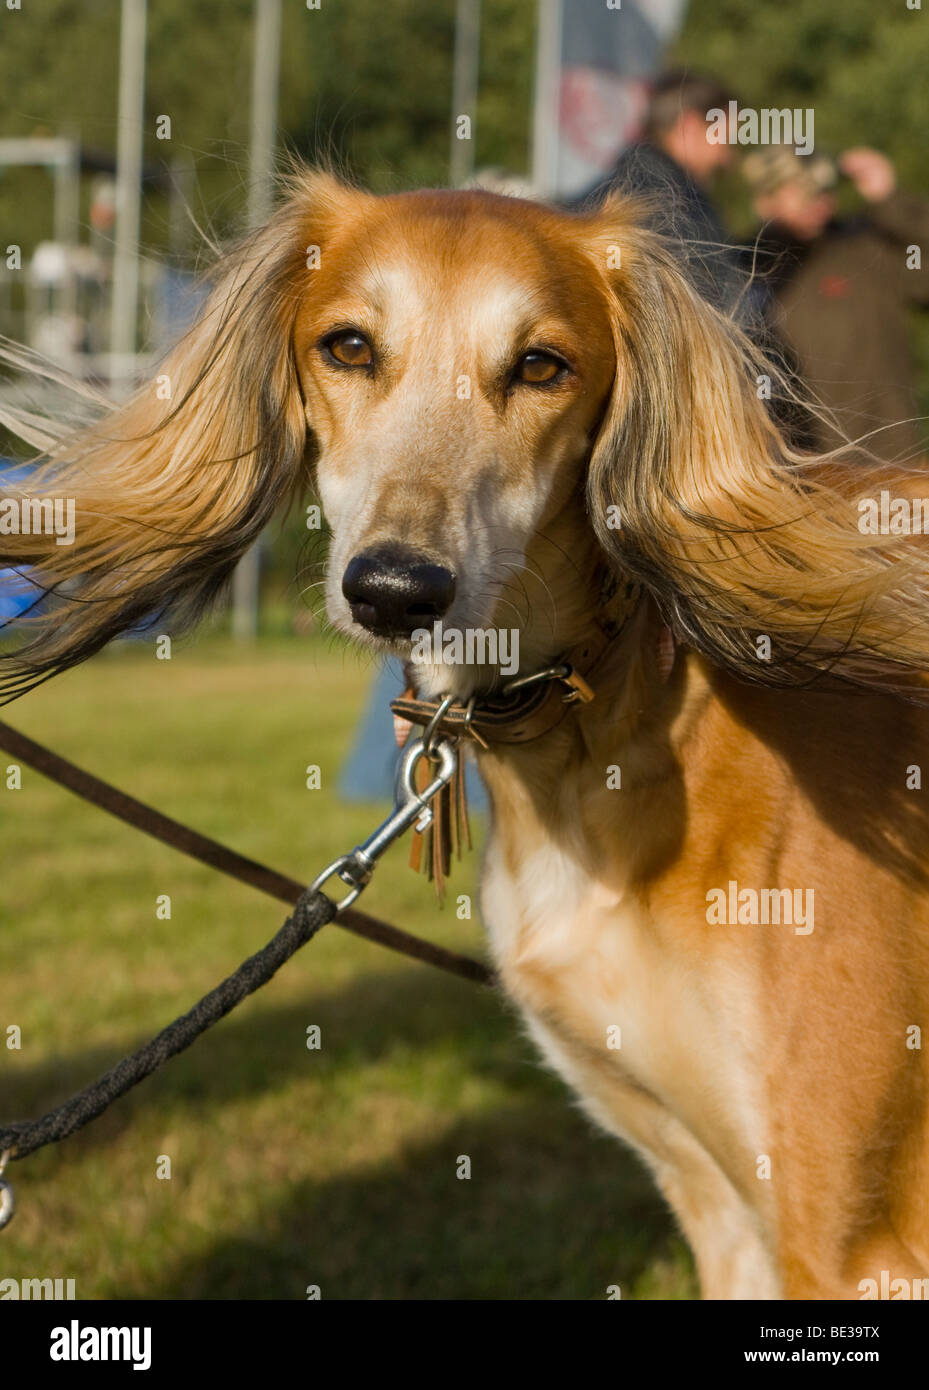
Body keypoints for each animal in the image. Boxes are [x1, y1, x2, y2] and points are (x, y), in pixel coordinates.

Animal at [1, 170, 929, 1289]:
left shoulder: (844, 1234)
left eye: (540, 365)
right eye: (349, 345)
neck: (602, 734)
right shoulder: (718, 1204)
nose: (396, 590)